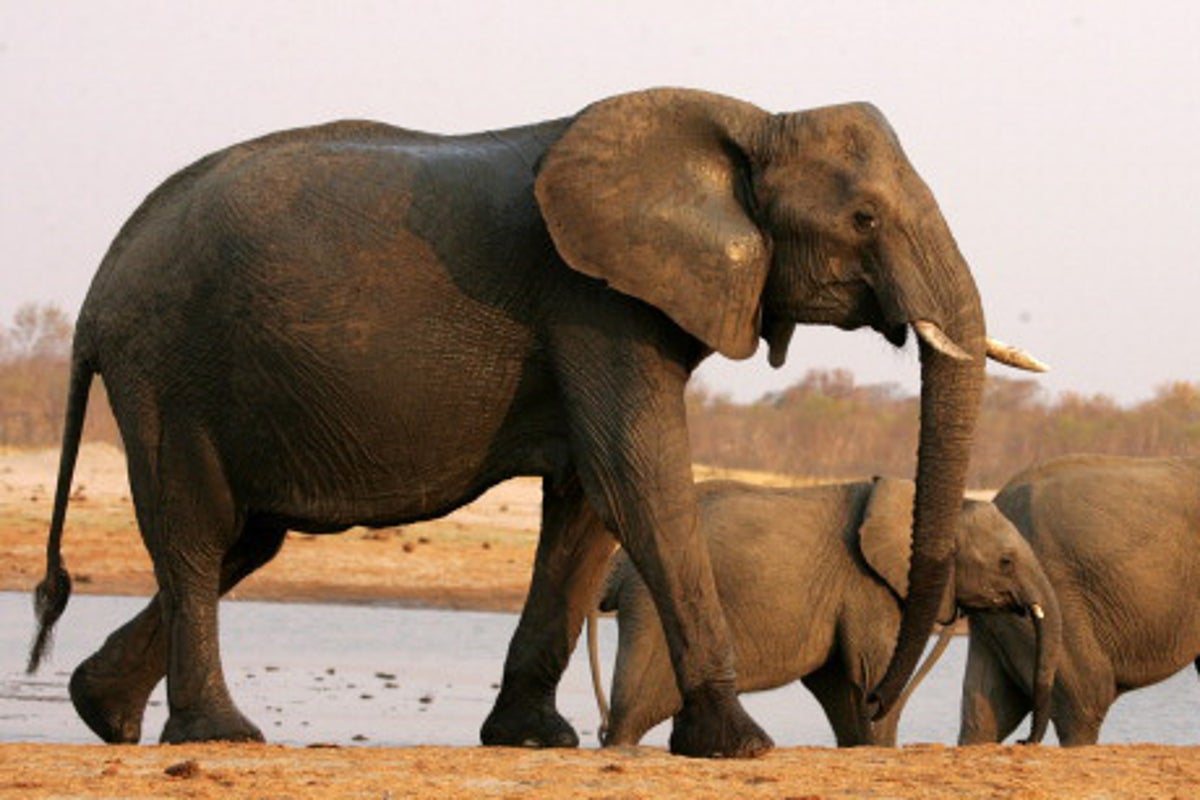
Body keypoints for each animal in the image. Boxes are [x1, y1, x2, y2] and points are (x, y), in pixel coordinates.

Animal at [587, 477, 1061, 747]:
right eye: (1005, 562)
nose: (1024, 742)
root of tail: (616, 565)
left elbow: (844, 688)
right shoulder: (867, 587)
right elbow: (873, 674)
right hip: (650, 606)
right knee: (634, 707)